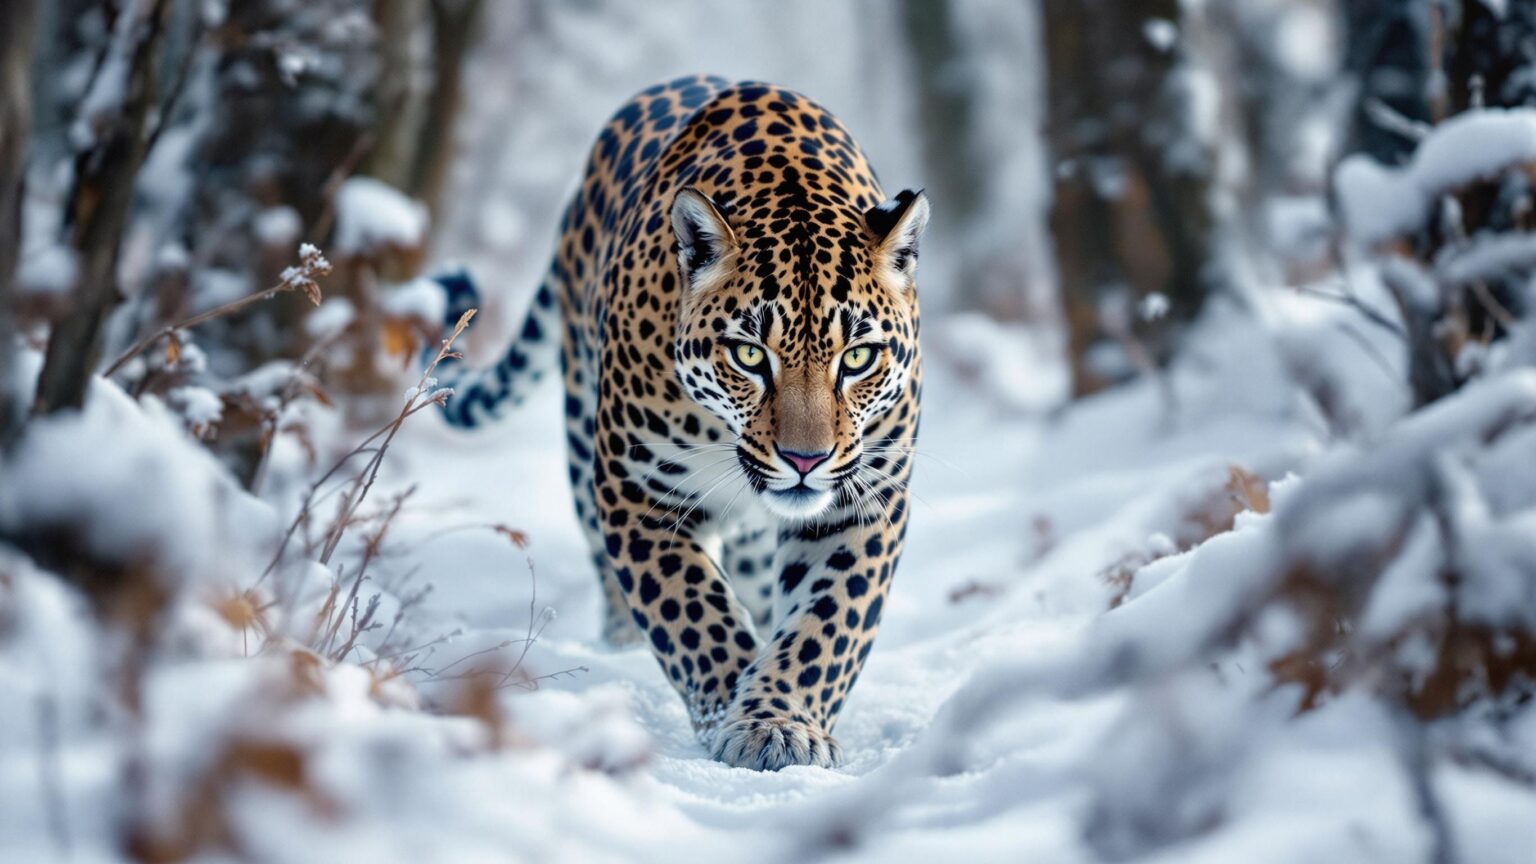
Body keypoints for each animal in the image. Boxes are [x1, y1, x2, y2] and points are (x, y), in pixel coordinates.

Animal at [430, 75, 928, 770]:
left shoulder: (865, 500)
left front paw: (779, 721)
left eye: (857, 358)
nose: (806, 461)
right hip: (583, 433)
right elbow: (692, 614)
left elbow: (827, 625)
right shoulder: (642, 493)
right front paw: (737, 711)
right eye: (749, 355)